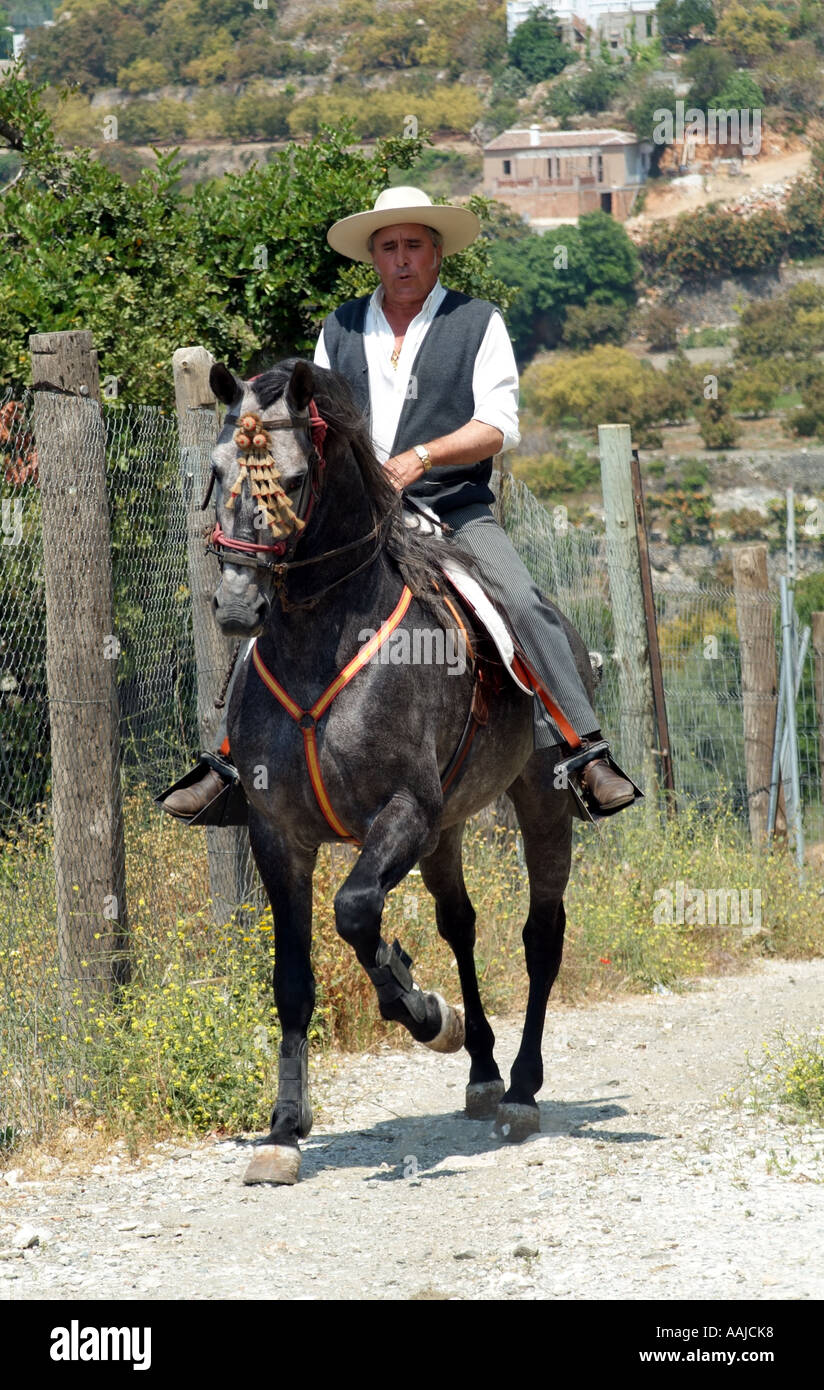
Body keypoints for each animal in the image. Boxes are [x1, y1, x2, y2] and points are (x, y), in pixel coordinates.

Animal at [204, 356, 596, 1185]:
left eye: (289, 481)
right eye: (217, 470)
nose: (236, 605)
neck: (321, 642)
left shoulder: (403, 813)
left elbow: (355, 911)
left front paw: (420, 1009)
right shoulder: (279, 835)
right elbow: (295, 981)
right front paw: (284, 1131)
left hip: (540, 804)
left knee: (541, 935)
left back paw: (520, 1089)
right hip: (447, 829)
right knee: (461, 924)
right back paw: (481, 1070)